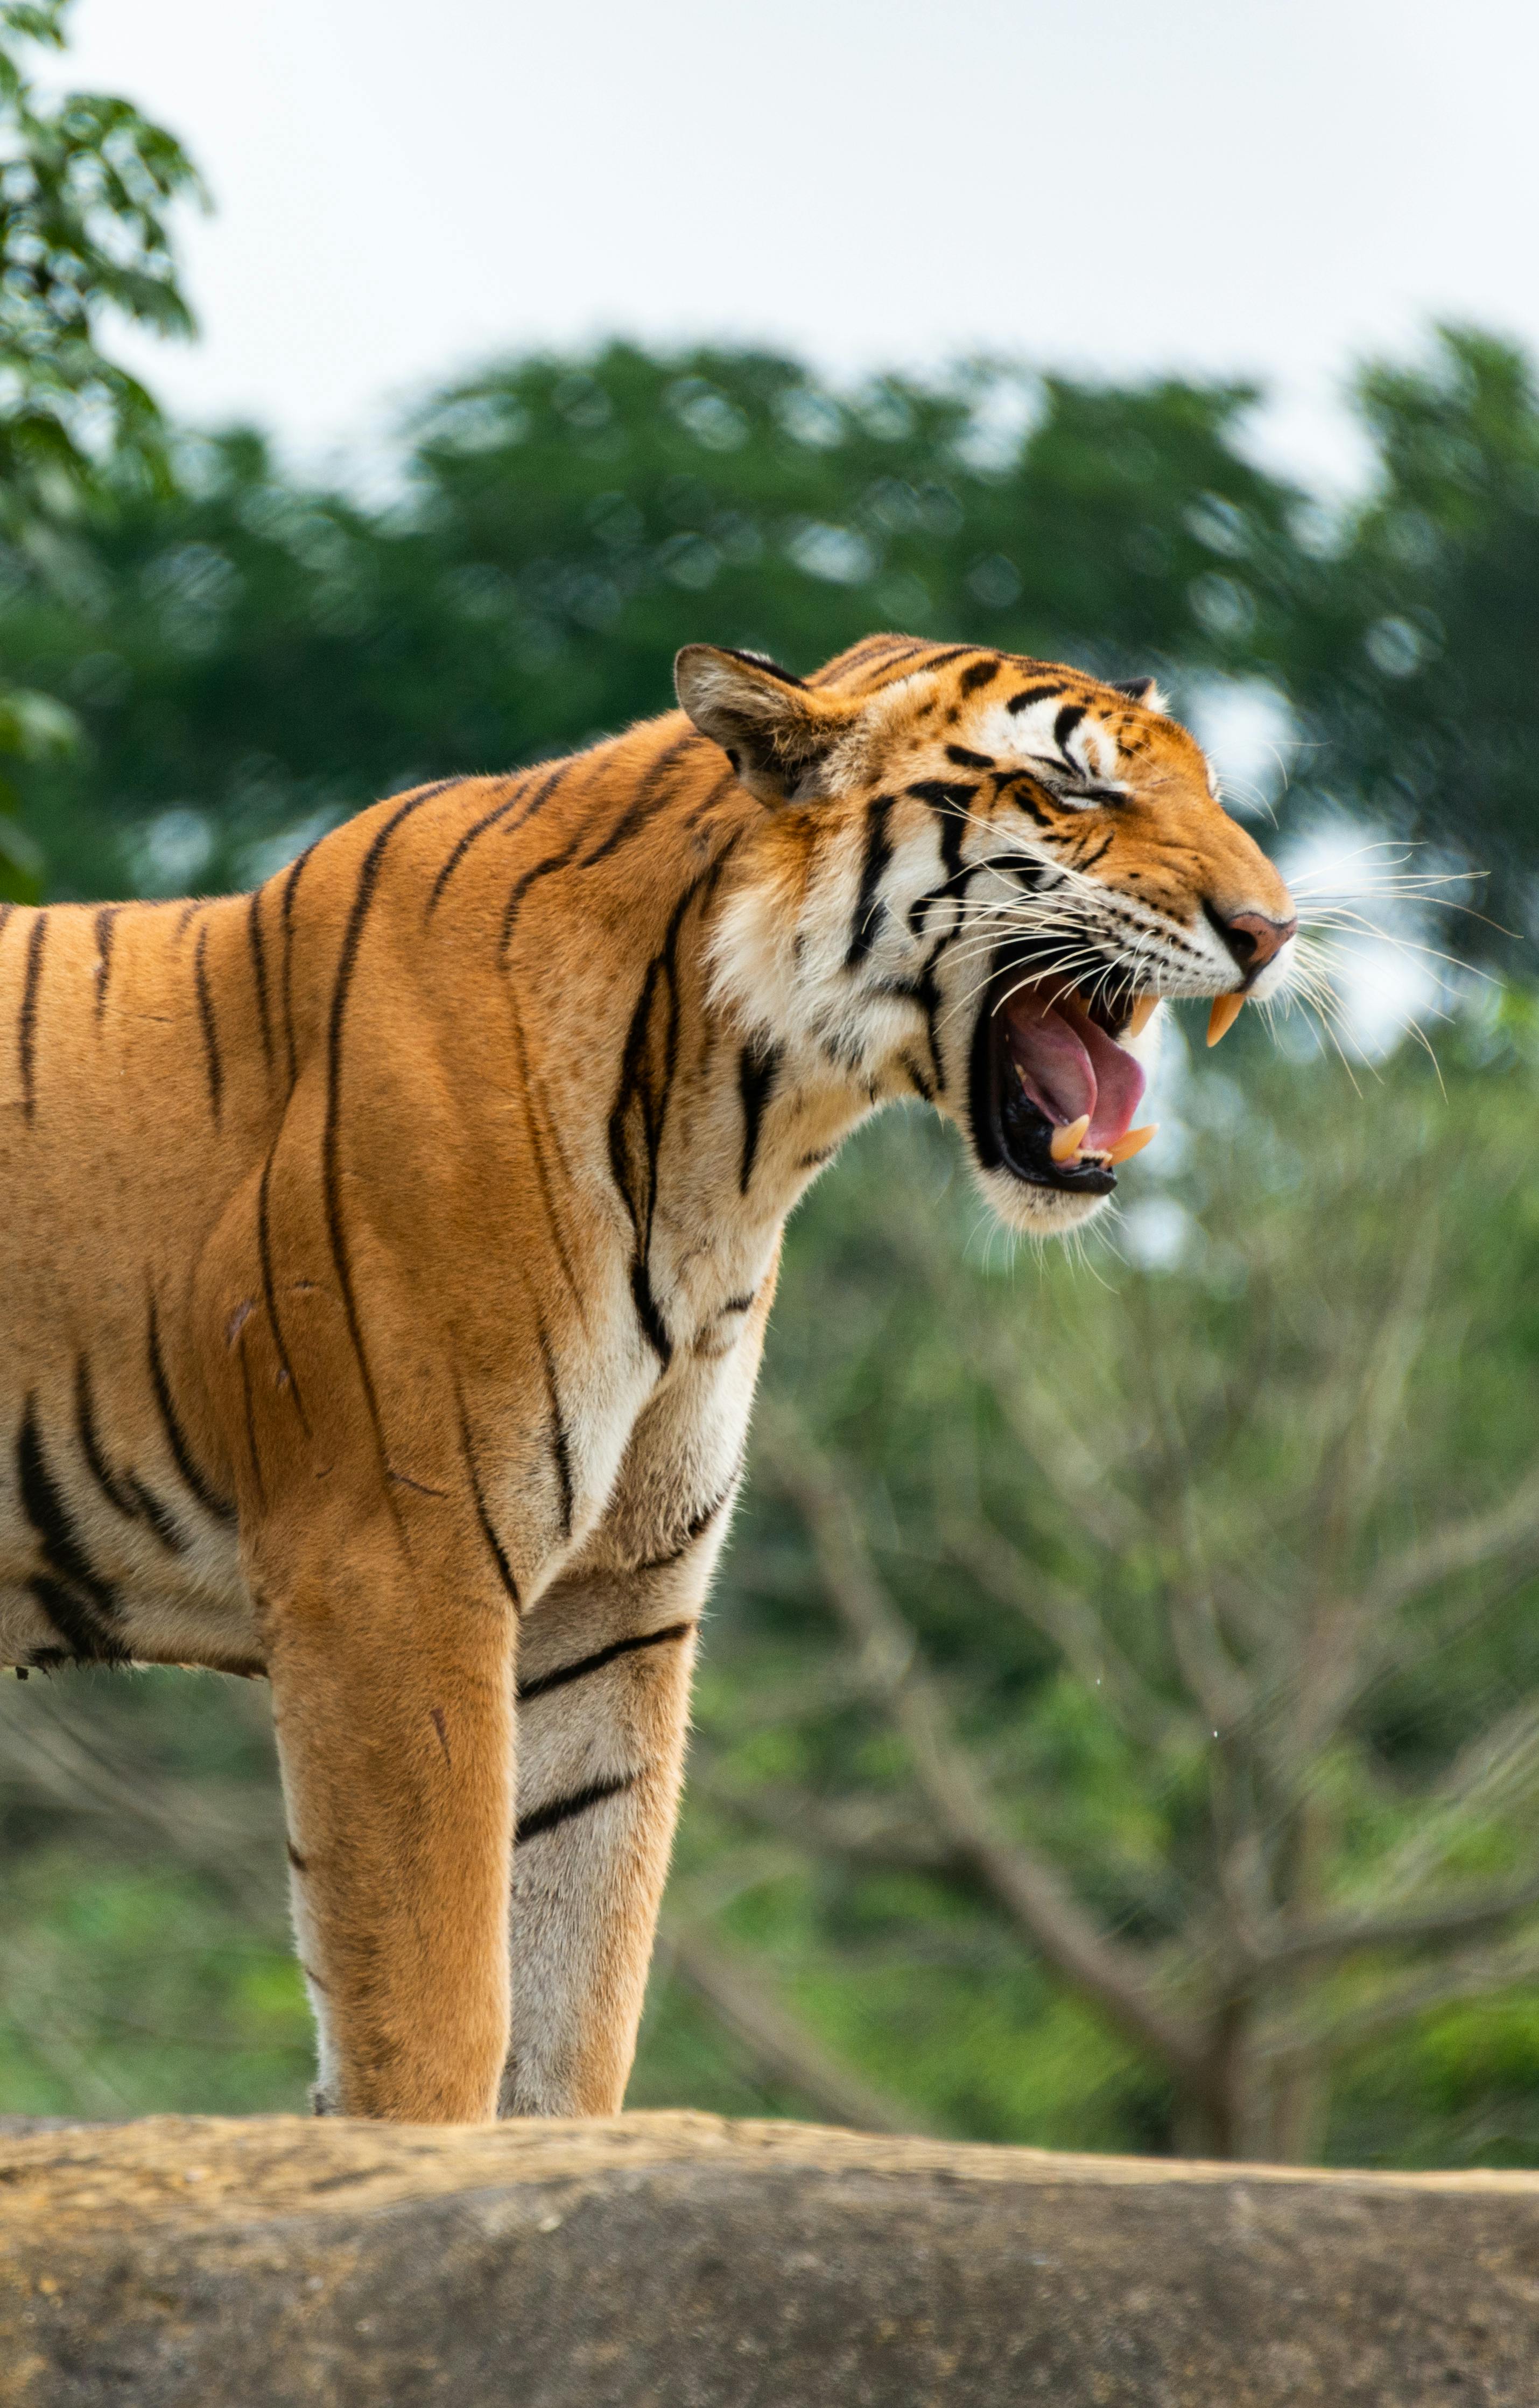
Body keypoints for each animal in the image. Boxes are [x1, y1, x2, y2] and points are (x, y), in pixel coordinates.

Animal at [0, 633, 1296, 2122]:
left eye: (1211, 788)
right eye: (1068, 790)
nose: (1273, 931)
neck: (737, 1138)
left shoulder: (615, 1601)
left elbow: (573, 2004)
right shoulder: (392, 1570)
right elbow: (434, 2012)